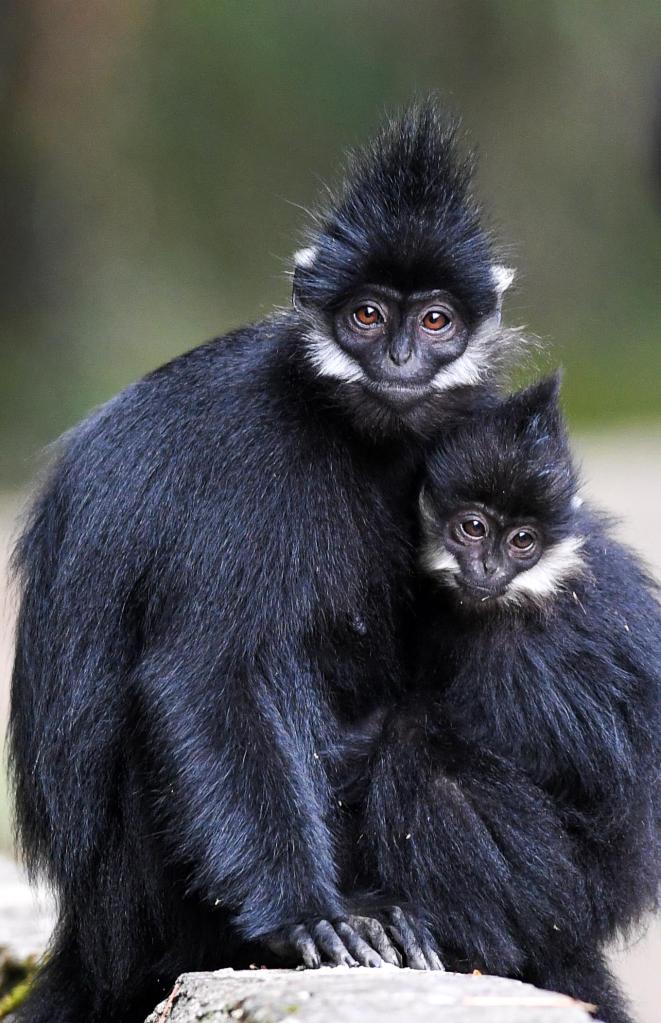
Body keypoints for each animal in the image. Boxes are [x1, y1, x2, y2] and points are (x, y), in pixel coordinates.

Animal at [8, 102, 522, 1023]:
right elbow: (206, 674)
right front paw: (308, 915)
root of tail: (88, 944)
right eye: (365, 316)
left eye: (433, 320)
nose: (397, 359)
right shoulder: (251, 451)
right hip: (141, 901)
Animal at [361, 376, 661, 1023]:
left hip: (565, 891)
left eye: (523, 540)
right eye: (473, 528)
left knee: (420, 743)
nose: (490, 565)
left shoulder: (525, 648)